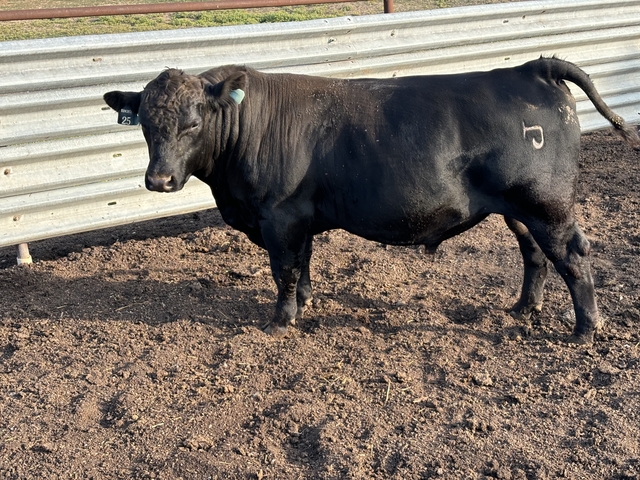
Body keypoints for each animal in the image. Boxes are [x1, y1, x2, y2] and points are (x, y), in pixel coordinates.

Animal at [104, 57, 640, 344]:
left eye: (194, 122)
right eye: (145, 124)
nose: (159, 180)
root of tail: (532, 68)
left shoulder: (279, 217)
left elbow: (285, 270)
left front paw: (281, 321)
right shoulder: (300, 220)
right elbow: (303, 266)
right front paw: (306, 304)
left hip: (548, 206)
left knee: (573, 257)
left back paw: (584, 330)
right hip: (520, 210)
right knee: (535, 255)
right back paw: (523, 309)